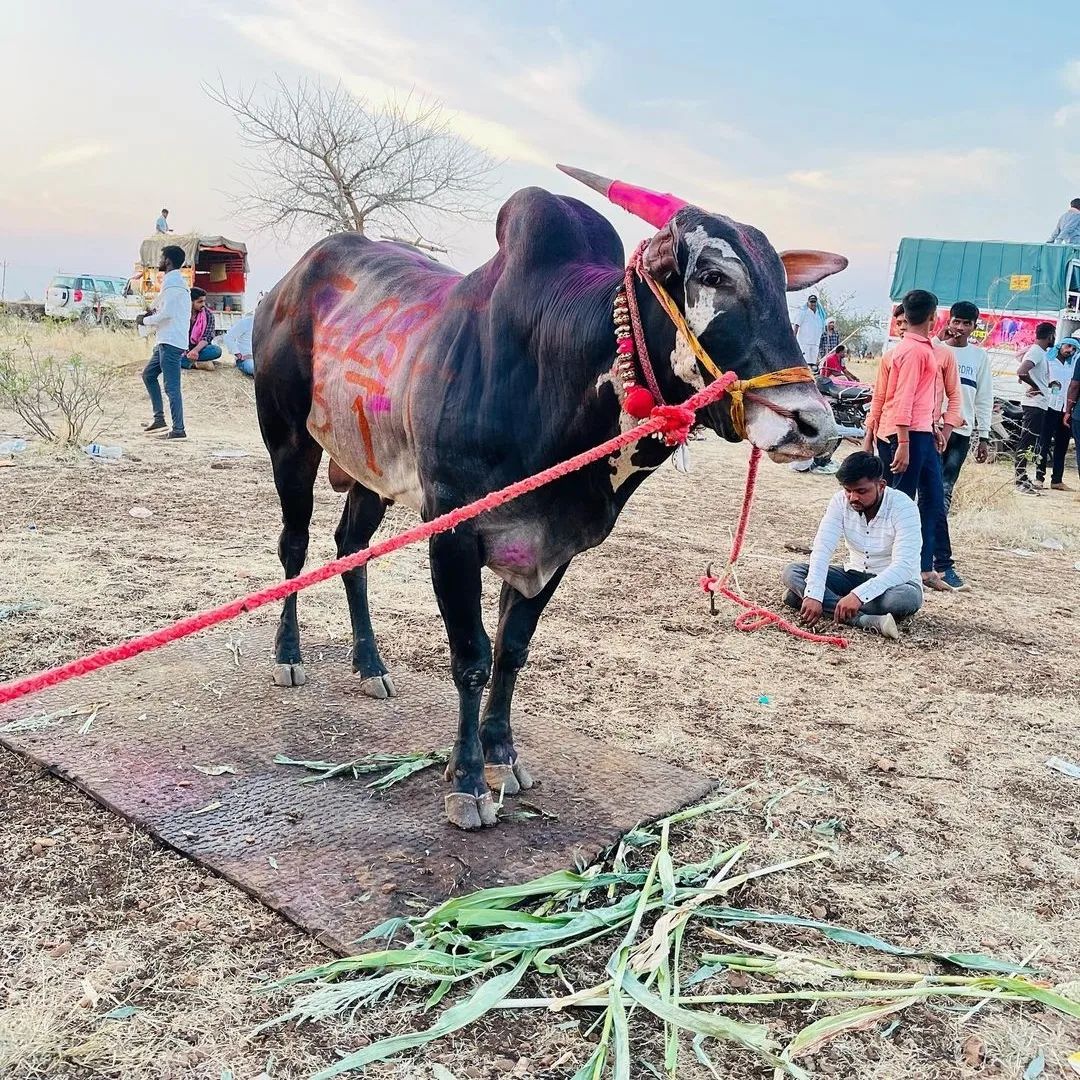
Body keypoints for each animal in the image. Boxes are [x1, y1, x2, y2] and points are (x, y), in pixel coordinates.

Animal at [252, 164, 842, 829]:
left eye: (783, 289)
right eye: (714, 276)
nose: (815, 425)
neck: (552, 367)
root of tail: (290, 281)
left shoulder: (553, 547)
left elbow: (511, 651)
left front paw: (502, 756)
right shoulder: (452, 530)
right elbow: (472, 657)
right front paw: (467, 782)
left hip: (373, 472)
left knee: (350, 547)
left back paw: (371, 665)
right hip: (289, 442)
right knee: (295, 546)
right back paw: (288, 654)